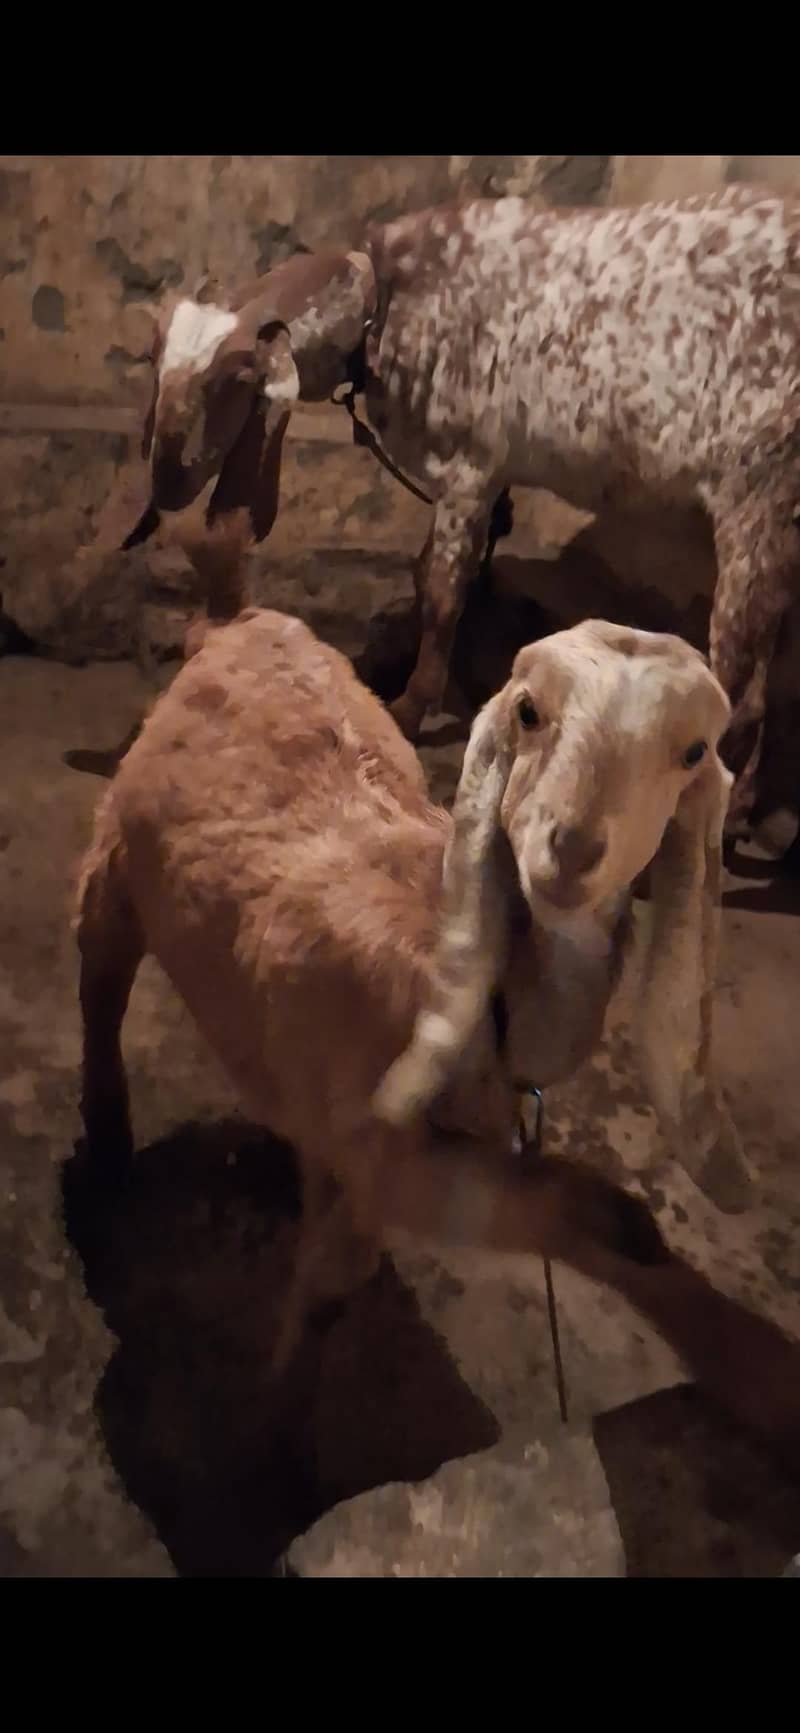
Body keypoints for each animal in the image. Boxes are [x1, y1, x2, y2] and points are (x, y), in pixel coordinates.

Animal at [73, 609, 799, 1458]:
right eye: (528, 710)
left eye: (691, 753)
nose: (572, 847)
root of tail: (241, 619)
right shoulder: (386, 1141)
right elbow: (598, 1218)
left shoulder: (379, 1148)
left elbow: (334, 1276)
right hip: (115, 862)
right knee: (99, 982)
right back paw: (107, 1141)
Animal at [124, 185, 800, 835]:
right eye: (156, 364)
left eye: (238, 378)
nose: (168, 484)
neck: (389, 302)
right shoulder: (485, 481)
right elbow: (429, 575)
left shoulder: (468, 468)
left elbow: (444, 593)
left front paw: (409, 707)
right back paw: (750, 812)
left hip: (754, 492)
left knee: (736, 694)